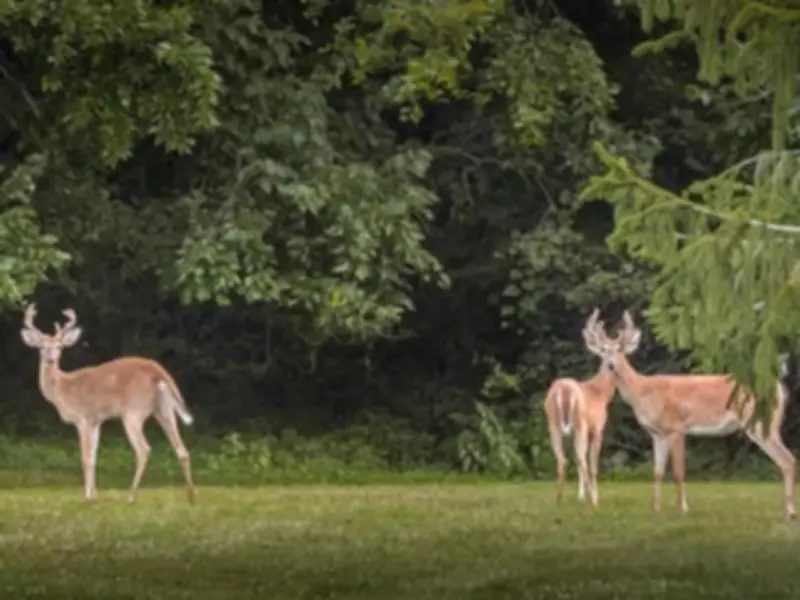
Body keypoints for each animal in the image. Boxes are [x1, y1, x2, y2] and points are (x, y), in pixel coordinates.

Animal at [20, 304, 197, 504]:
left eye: (59, 346)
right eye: (42, 347)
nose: (50, 359)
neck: (63, 388)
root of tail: (158, 371)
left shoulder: (83, 418)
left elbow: (85, 458)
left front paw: (87, 497)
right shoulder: (96, 421)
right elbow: (94, 457)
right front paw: (95, 495)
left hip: (133, 411)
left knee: (144, 449)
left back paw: (131, 496)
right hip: (164, 408)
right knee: (182, 449)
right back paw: (191, 496)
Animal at [544, 314, 617, 508]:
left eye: (618, 349)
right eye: (604, 349)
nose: (612, 364)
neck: (600, 392)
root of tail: (564, 390)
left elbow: (576, 461)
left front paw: (580, 496)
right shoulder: (597, 427)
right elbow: (592, 464)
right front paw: (587, 496)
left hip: (554, 423)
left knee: (563, 459)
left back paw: (559, 499)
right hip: (580, 424)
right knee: (583, 460)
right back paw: (595, 500)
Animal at [581, 307, 796, 520]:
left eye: (620, 349)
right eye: (603, 350)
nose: (611, 365)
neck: (643, 391)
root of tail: (779, 388)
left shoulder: (677, 426)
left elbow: (679, 471)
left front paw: (682, 509)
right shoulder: (657, 434)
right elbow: (658, 471)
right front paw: (656, 510)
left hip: (760, 423)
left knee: (788, 460)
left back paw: (791, 513)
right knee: (786, 460)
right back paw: (787, 511)